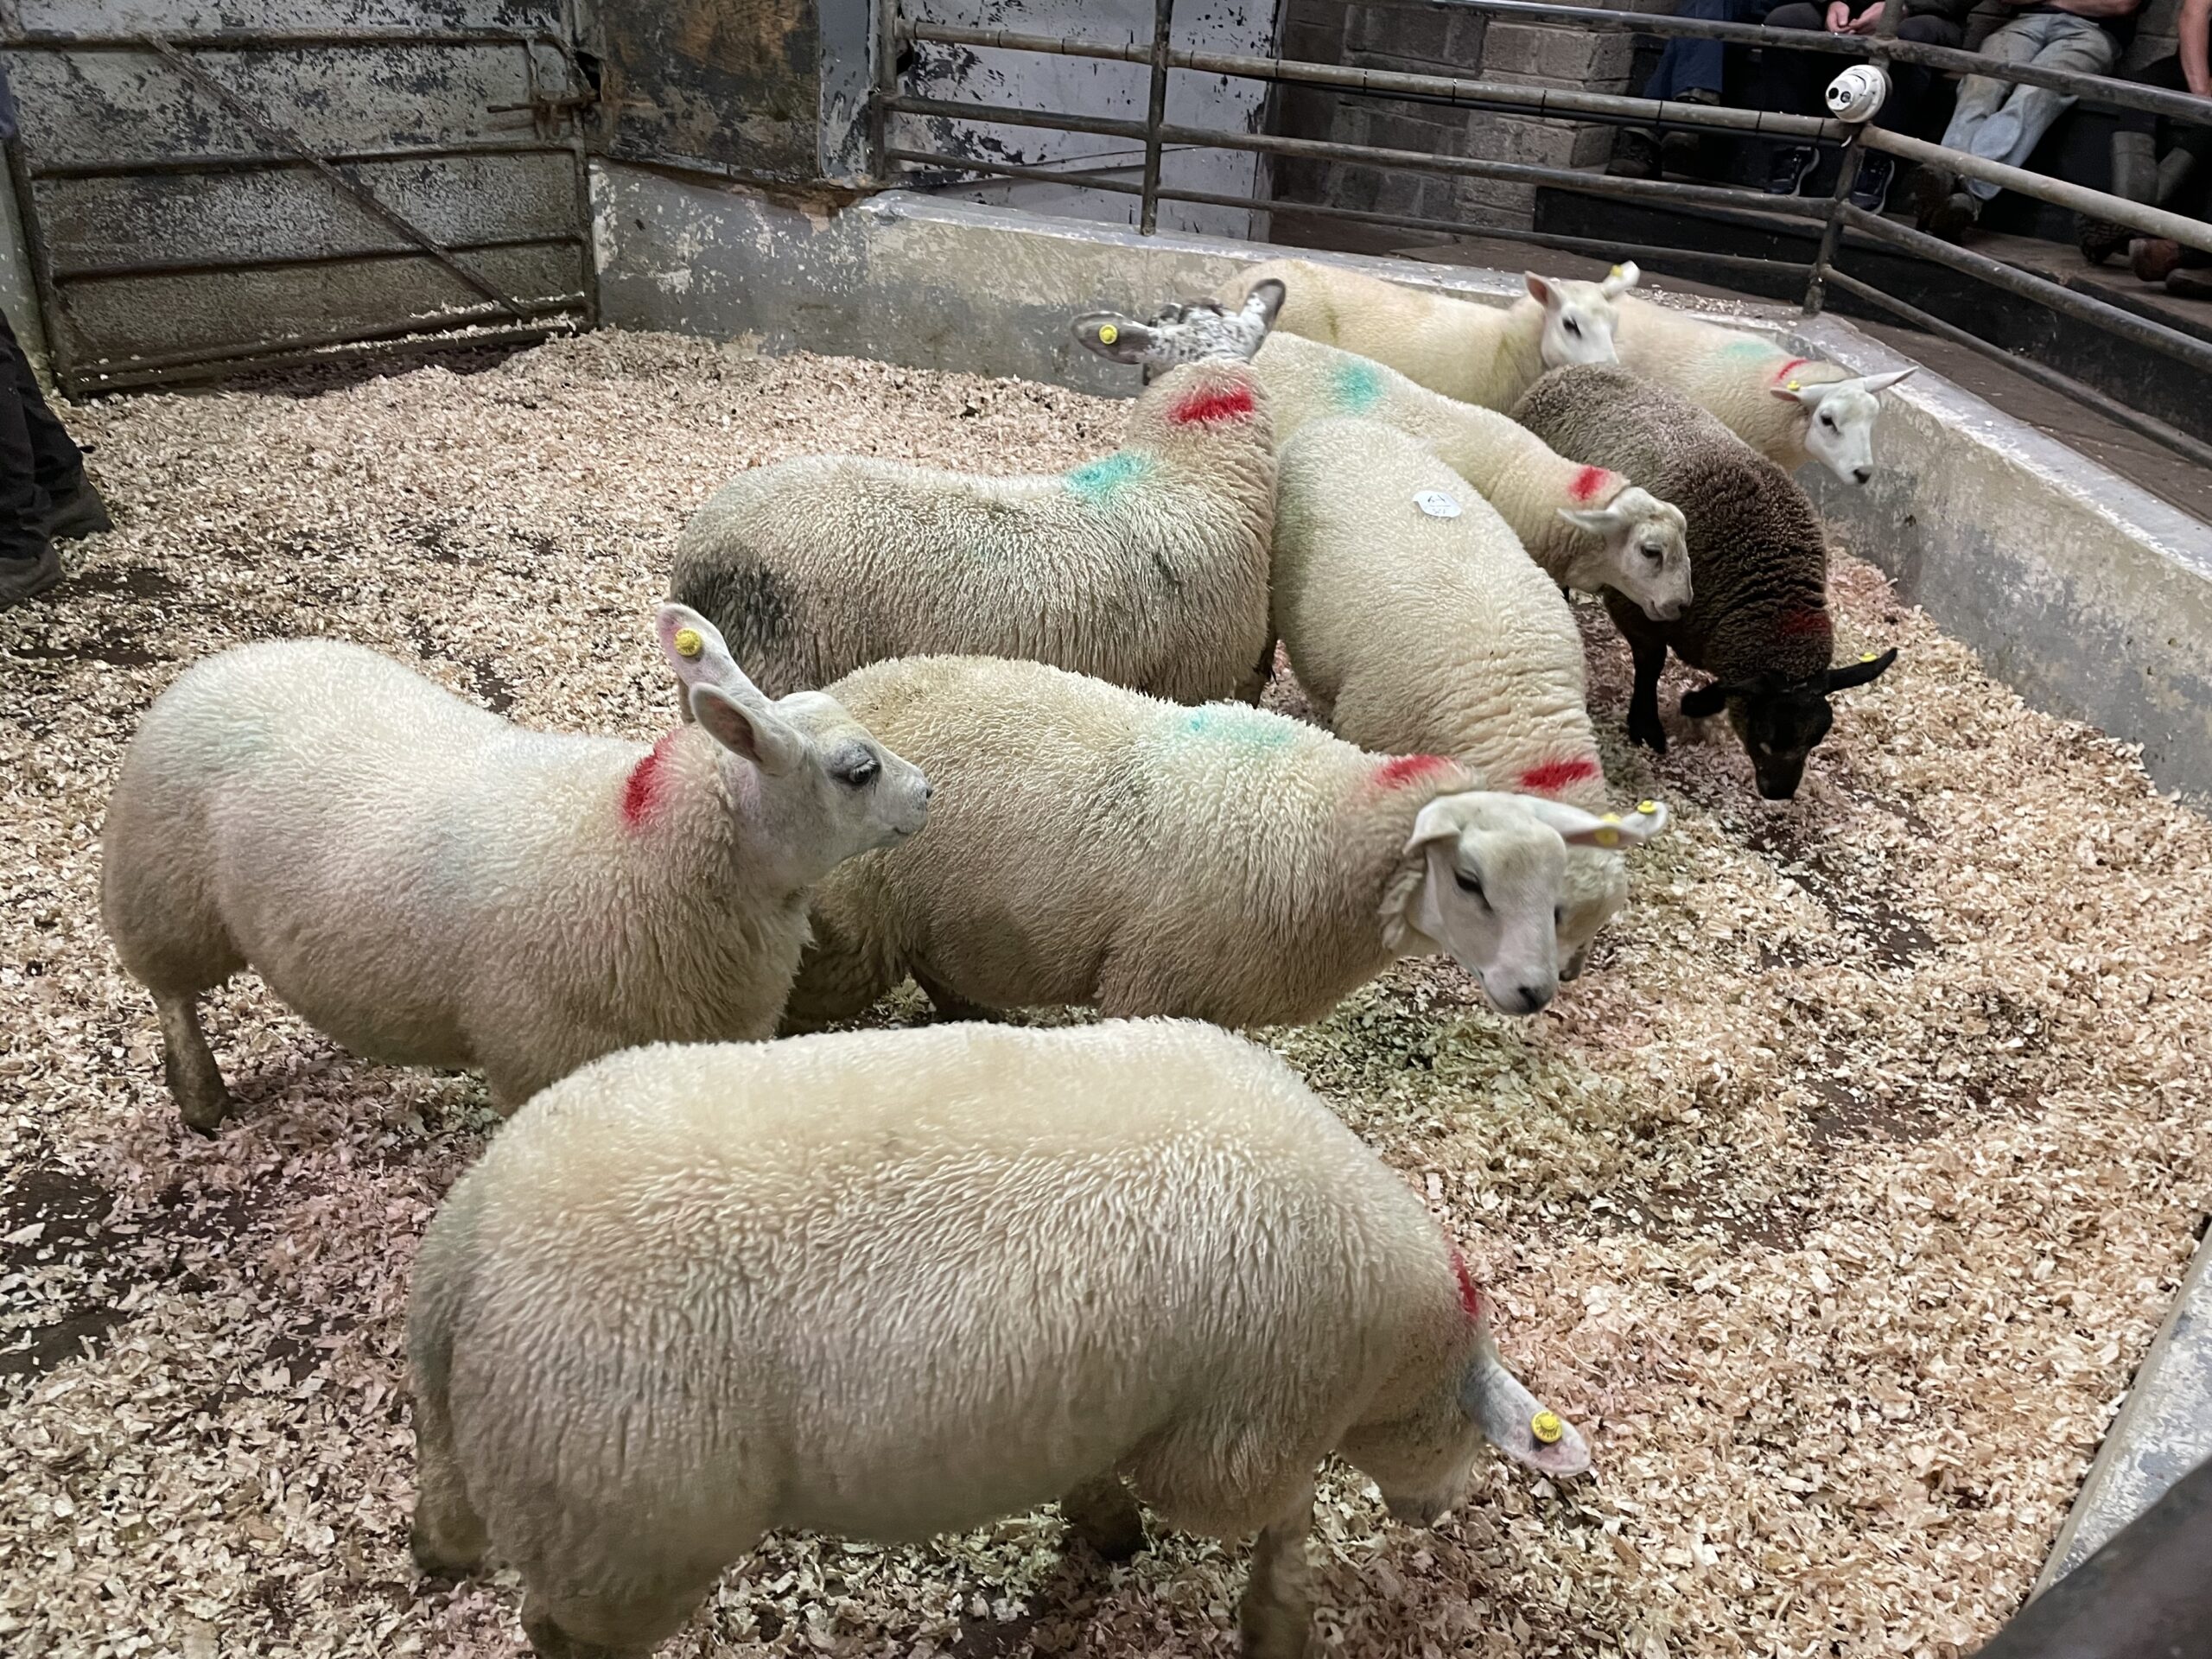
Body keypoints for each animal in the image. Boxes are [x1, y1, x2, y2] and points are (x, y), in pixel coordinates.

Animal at [99, 605, 929, 1127]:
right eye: (857, 772)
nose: (926, 792)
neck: (641, 844)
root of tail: (220, 664)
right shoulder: (542, 1053)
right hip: (161, 891)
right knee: (169, 993)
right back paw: (201, 1099)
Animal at [408, 1017, 1591, 1659]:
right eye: (1474, 1438)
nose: (1440, 1513)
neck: (1396, 1345)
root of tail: (462, 1253)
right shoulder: (1229, 1446)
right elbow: (1282, 1518)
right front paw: (1276, 1617)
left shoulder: (1122, 1406)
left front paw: (1102, 1527)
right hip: (625, 1534)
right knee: (558, 1633)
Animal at [781, 655, 1663, 1034]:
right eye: (1471, 880)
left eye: (1557, 899)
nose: (1536, 991)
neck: (1323, 823)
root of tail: (841, 691)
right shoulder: (1151, 987)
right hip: (853, 934)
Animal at [1512, 365, 1898, 800]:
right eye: (1765, 733)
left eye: (1817, 737)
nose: (1779, 792)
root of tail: (1569, 371)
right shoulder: (1637, 607)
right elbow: (1652, 664)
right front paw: (1646, 724)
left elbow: (1729, 684)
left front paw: (1695, 702)